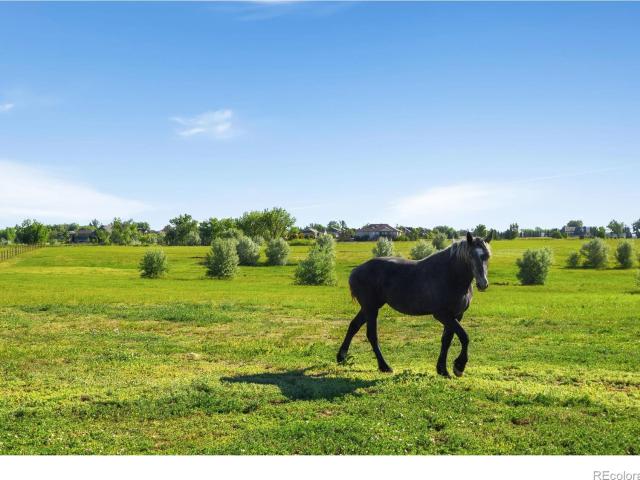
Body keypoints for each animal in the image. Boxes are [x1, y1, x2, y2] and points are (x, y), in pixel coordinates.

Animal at [337, 232, 491, 377]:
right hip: (371, 309)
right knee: (372, 336)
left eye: (487, 256)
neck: (450, 275)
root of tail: (356, 271)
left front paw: (442, 370)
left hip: (369, 308)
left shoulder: (457, 315)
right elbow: (464, 337)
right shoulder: (442, 315)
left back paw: (341, 357)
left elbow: (447, 340)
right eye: (471, 255)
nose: (482, 284)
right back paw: (384, 366)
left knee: (353, 326)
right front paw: (459, 366)